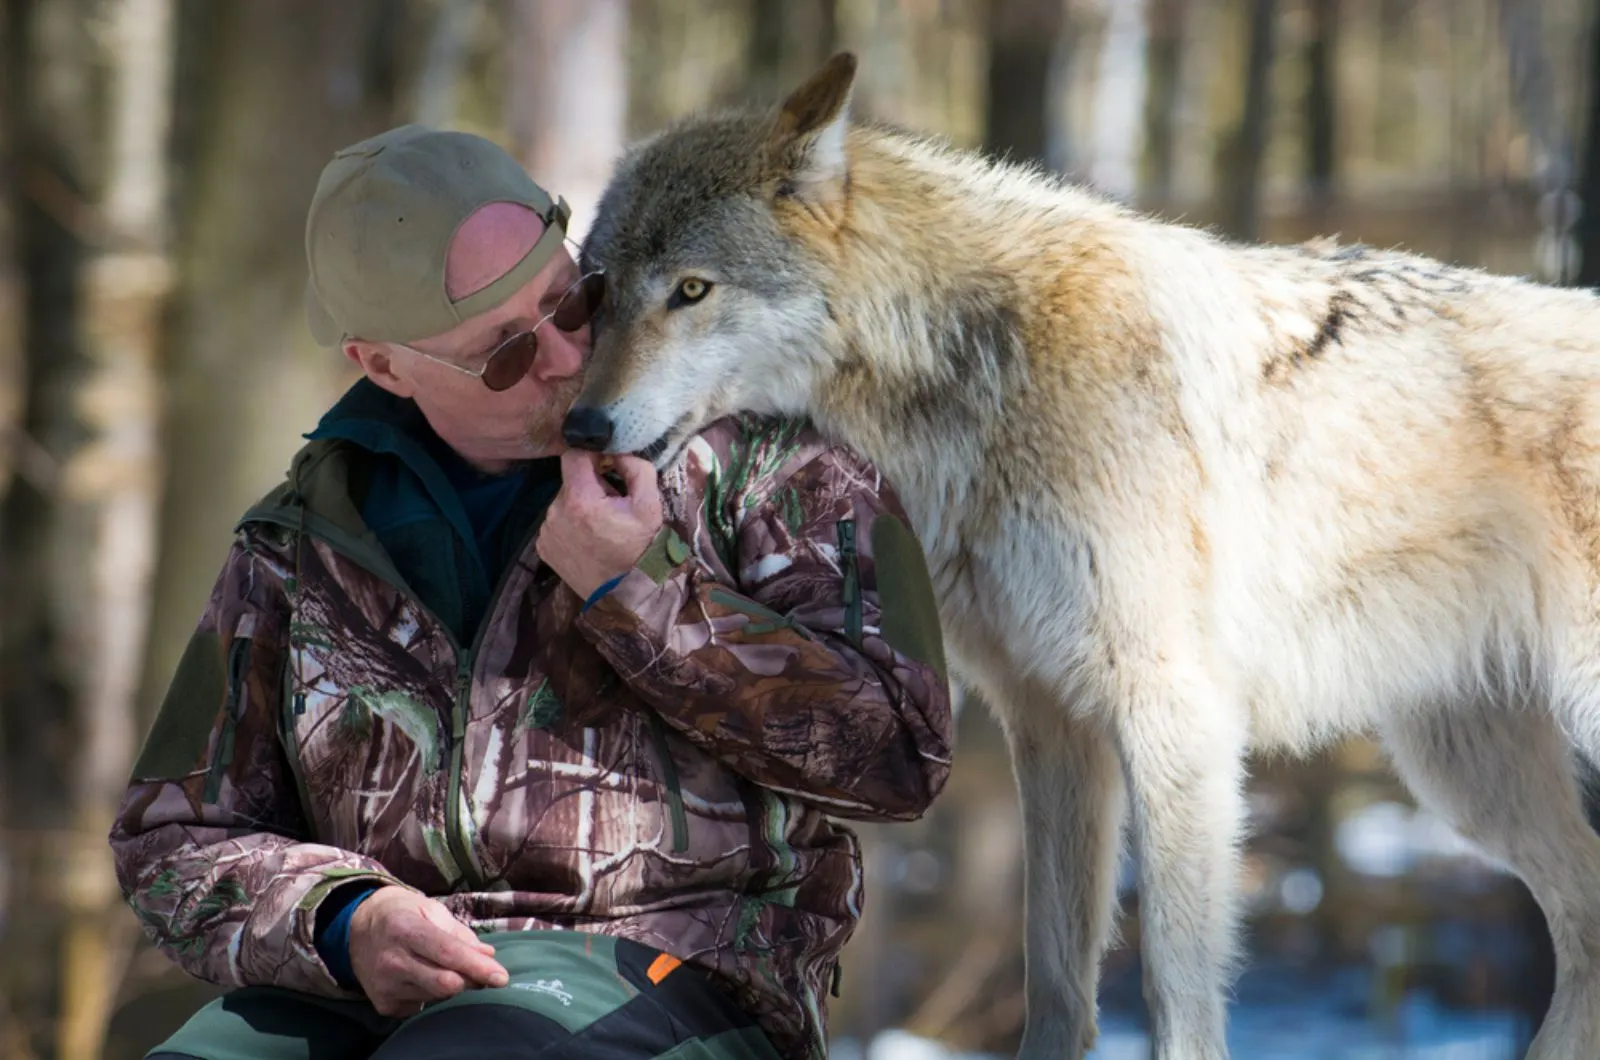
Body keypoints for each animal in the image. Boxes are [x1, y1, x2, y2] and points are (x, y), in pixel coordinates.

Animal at [562, 52, 1600, 1060]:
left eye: (692, 290)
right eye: (600, 291)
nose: (581, 425)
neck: (981, 369)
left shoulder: (1173, 714)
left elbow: (1175, 998)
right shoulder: (1049, 717)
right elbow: (1058, 984)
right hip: (1464, 775)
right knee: (1586, 928)